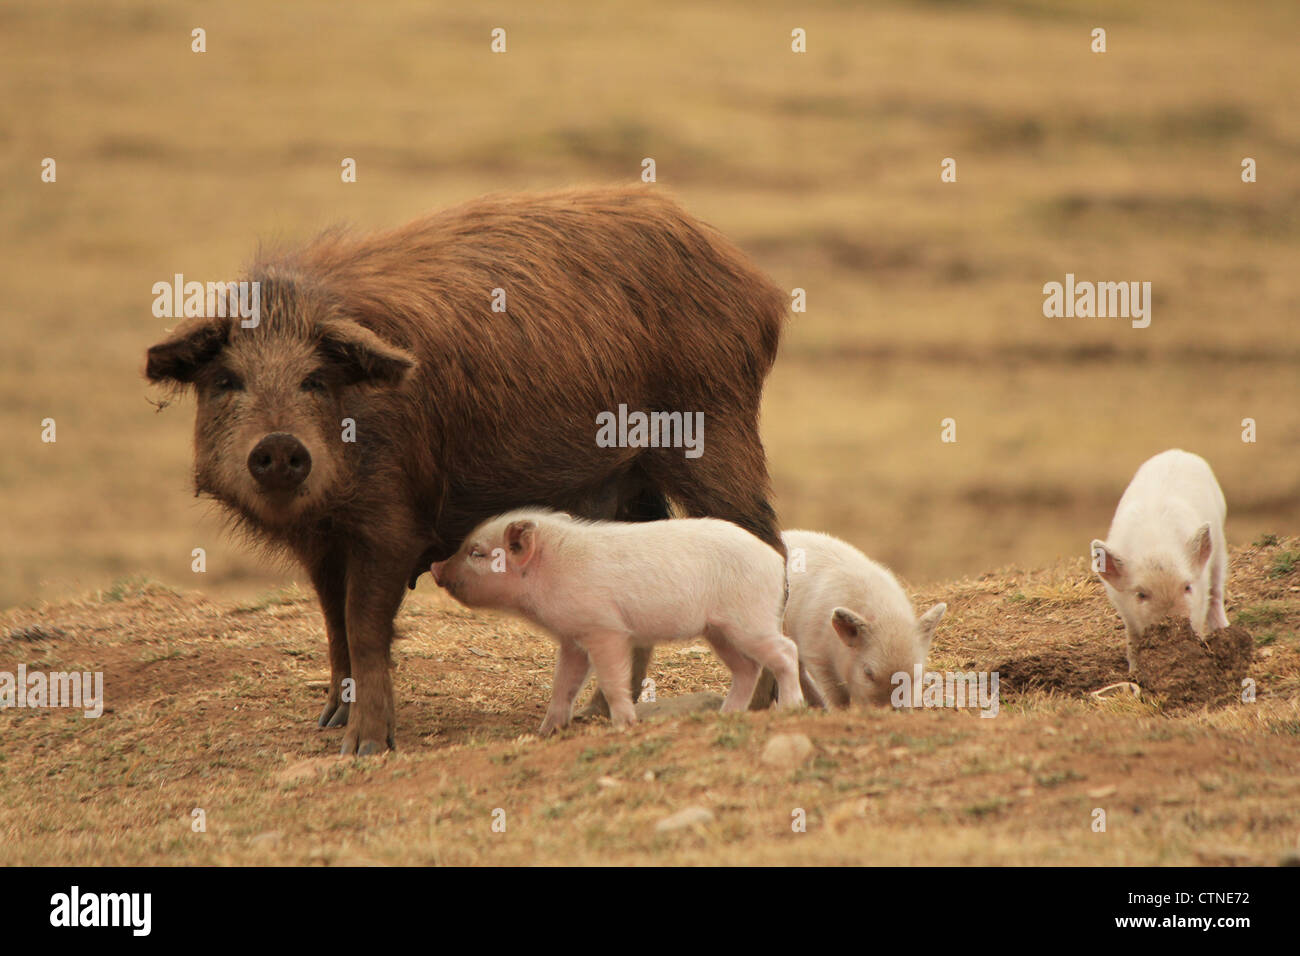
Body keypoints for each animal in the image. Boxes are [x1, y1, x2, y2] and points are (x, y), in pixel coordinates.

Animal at [431, 510, 805, 733]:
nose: (435, 567)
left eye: (477, 552)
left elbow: (612, 680)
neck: (549, 570)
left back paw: (791, 708)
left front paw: (624, 725)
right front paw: (546, 732)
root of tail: (776, 562)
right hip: (718, 631)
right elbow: (562, 685)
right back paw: (724, 716)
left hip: (749, 619)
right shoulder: (572, 638)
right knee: (747, 668)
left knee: (786, 651)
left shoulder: (604, 629)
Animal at [1090, 449, 1229, 671]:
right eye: (1140, 595)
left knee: (1216, 593)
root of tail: (1179, 452)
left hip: (1219, 547)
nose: (1173, 627)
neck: (1155, 545)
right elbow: (1133, 635)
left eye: (1188, 587)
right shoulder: (1121, 604)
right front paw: (1134, 671)